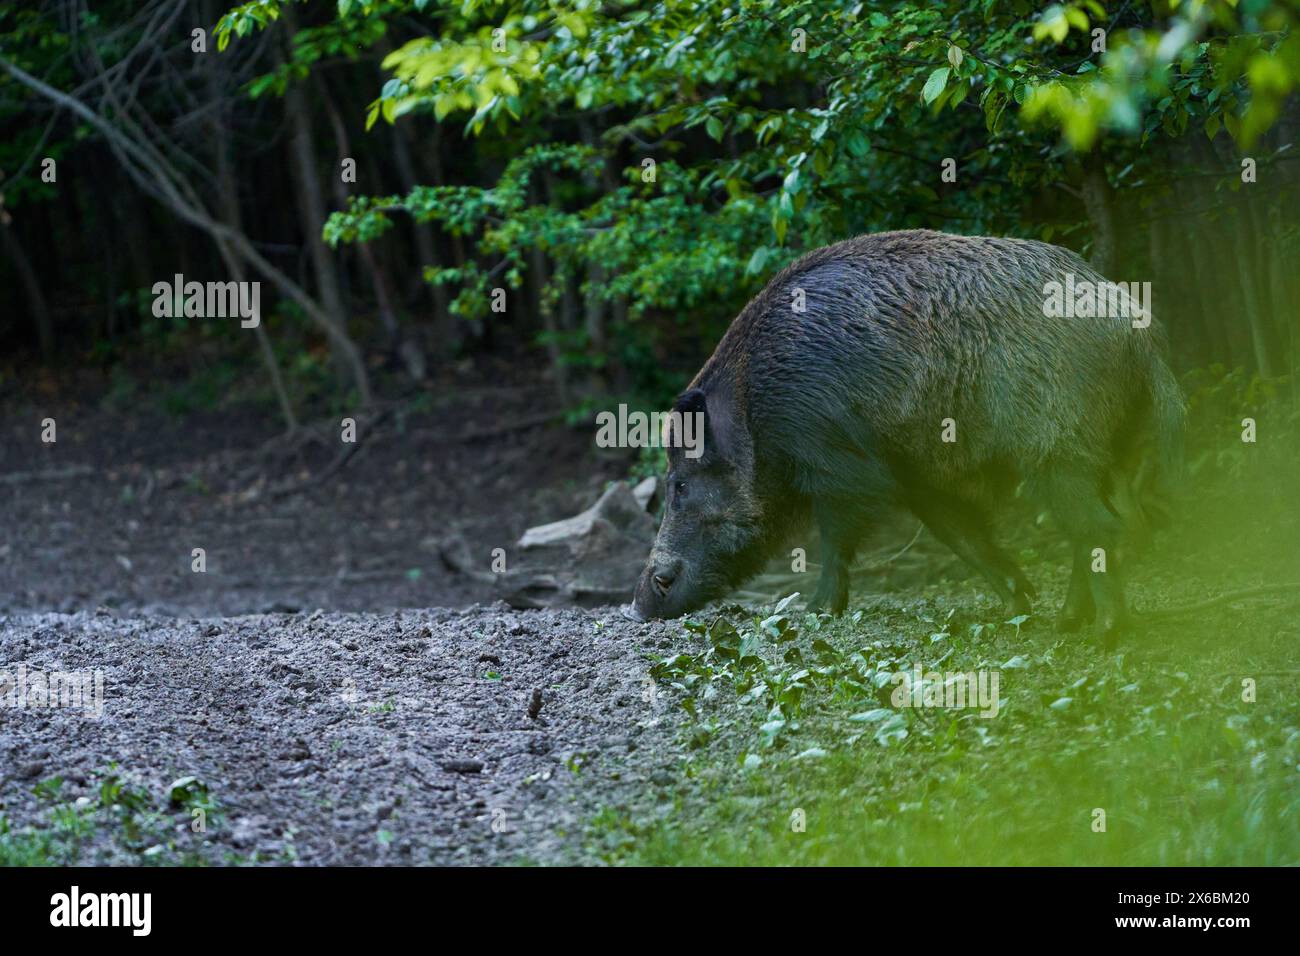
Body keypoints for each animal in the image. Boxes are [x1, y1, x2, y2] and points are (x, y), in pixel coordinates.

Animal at [626, 229, 1184, 643]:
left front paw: (816, 611)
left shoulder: (840, 462)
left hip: (1057, 449)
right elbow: (960, 532)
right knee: (1094, 529)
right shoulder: (914, 476)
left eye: (679, 485)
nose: (637, 606)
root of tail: (1141, 330)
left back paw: (1106, 633)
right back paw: (1067, 623)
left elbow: (837, 539)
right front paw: (1018, 601)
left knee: (1102, 527)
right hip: (1097, 450)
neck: (755, 409)